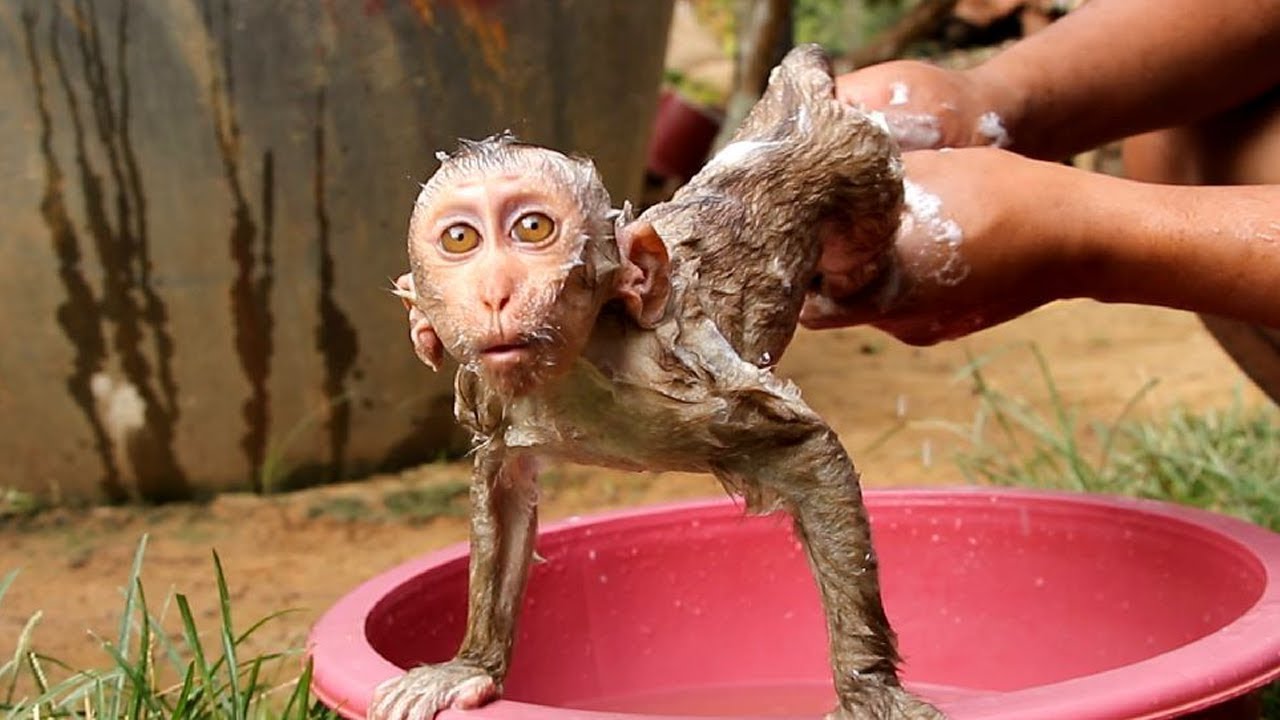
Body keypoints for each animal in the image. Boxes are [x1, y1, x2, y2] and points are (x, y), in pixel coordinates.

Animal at [375, 45, 943, 720]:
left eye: (533, 228)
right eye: (460, 238)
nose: (494, 293)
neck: (577, 368)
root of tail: (797, 105)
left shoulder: (683, 382)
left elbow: (810, 451)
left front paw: (868, 690)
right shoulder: (492, 392)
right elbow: (502, 486)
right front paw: (472, 665)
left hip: (861, 167)